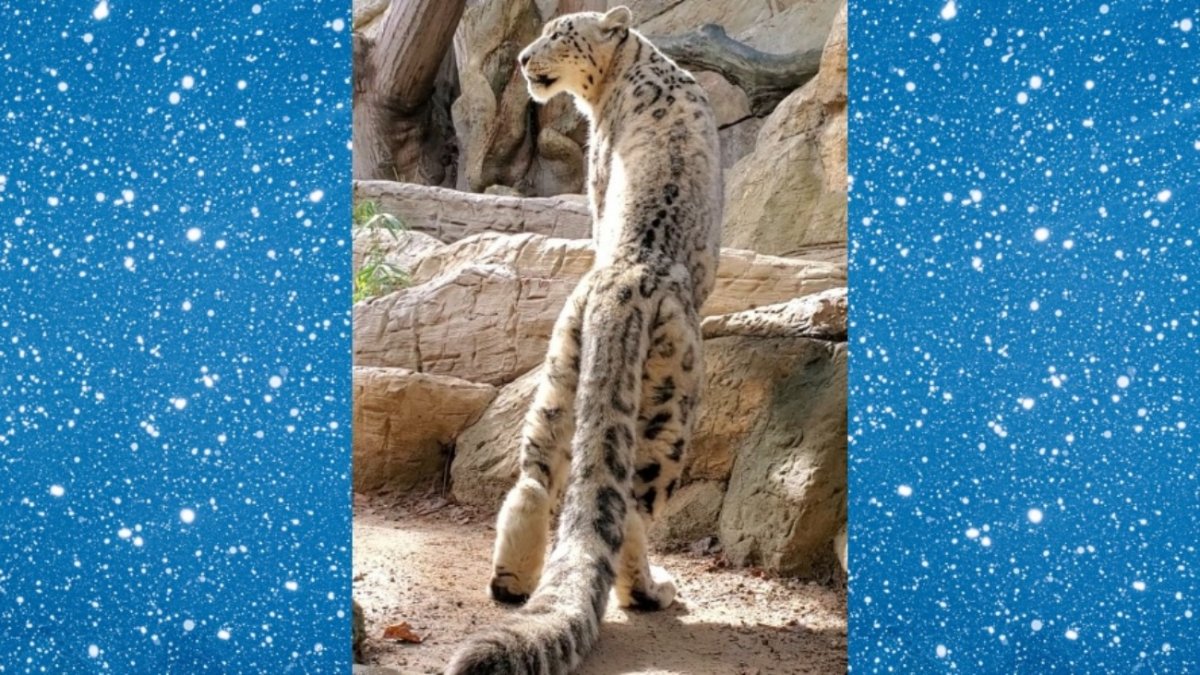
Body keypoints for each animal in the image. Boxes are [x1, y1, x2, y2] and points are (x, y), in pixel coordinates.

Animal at [447, 6, 721, 673]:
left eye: (559, 34)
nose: (523, 58)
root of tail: (621, 281)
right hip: (672, 405)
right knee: (633, 512)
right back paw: (652, 591)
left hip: (561, 364)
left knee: (535, 474)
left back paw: (510, 581)